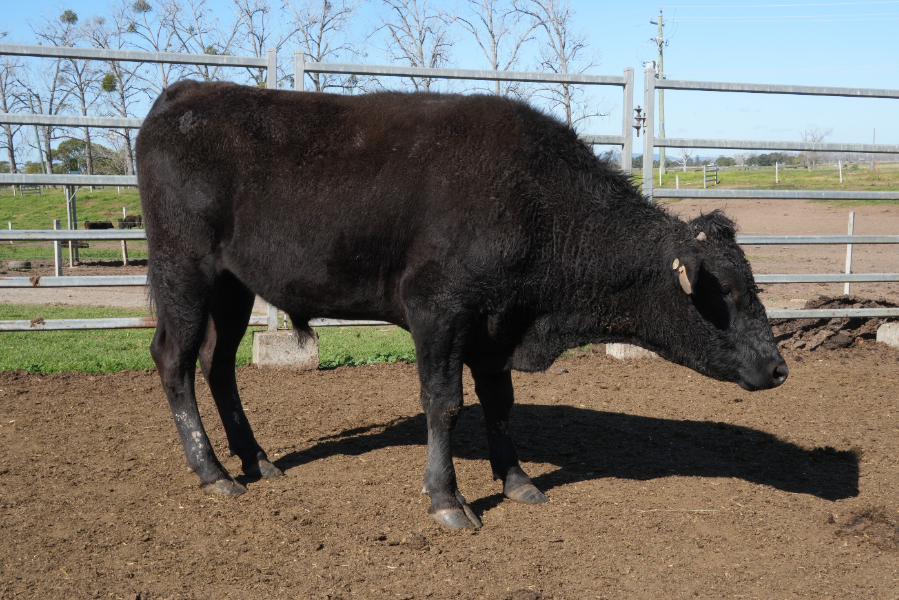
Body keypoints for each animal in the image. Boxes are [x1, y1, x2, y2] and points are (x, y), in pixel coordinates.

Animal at [136, 80, 788, 529]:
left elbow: (499, 404)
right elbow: (444, 404)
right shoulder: (438, 311)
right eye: (725, 293)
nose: (779, 367)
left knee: (217, 364)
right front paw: (447, 499)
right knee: (174, 360)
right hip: (183, 271)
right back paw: (213, 471)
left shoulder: (496, 329)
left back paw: (255, 460)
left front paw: (517, 480)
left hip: (232, 286)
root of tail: (187, 91)